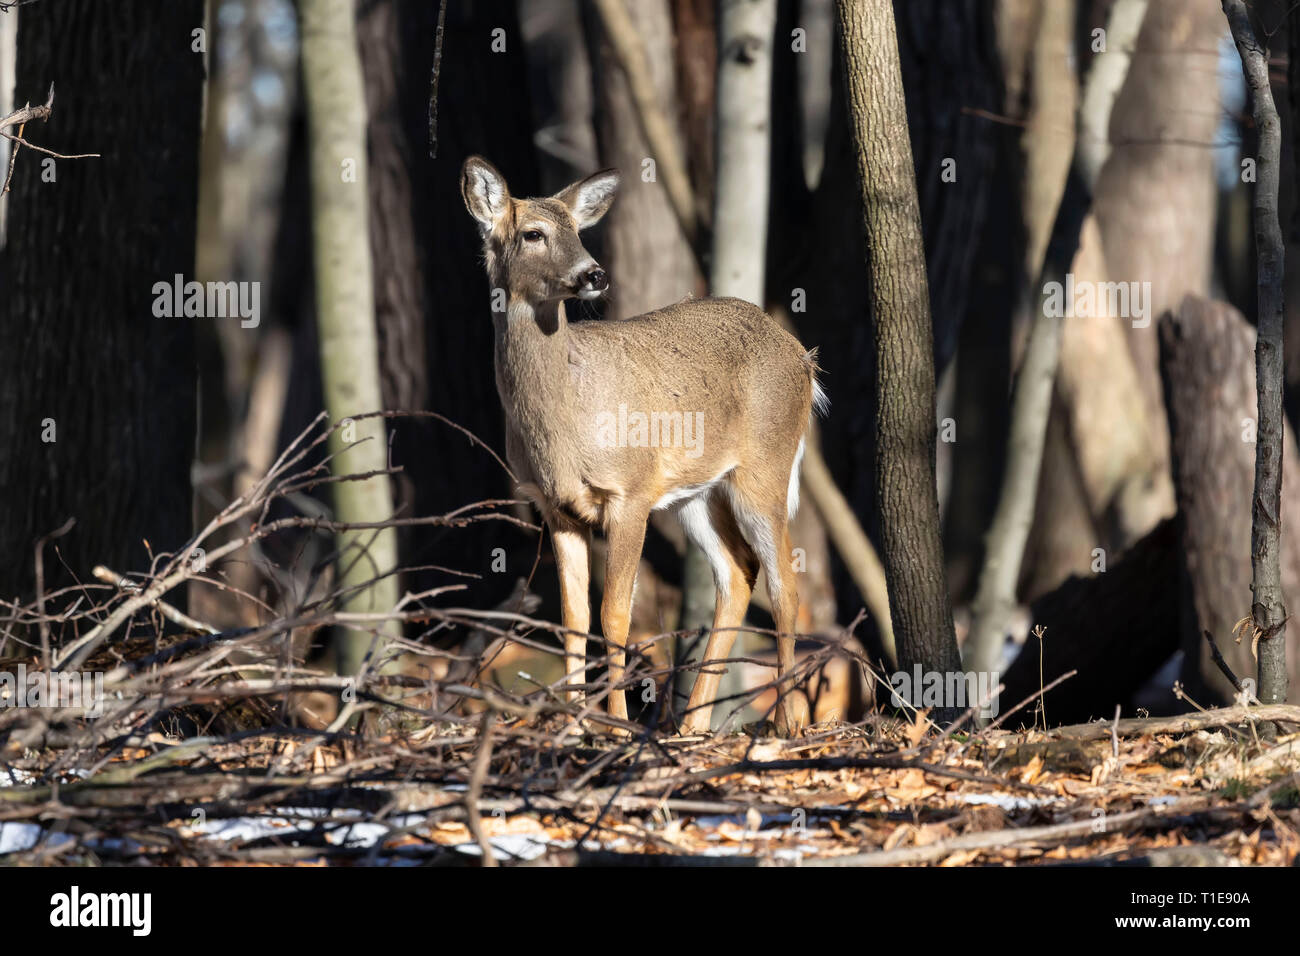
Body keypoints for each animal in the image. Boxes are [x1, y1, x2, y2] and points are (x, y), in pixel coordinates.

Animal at [461, 155, 827, 736]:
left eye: (578, 230)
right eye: (533, 233)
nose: (595, 274)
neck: (564, 425)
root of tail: (804, 359)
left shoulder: (630, 491)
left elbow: (615, 615)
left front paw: (615, 724)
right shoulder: (555, 506)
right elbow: (573, 617)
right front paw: (574, 726)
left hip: (764, 468)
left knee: (785, 585)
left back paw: (784, 724)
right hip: (695, 494)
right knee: (738, 575)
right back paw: (694, 724)